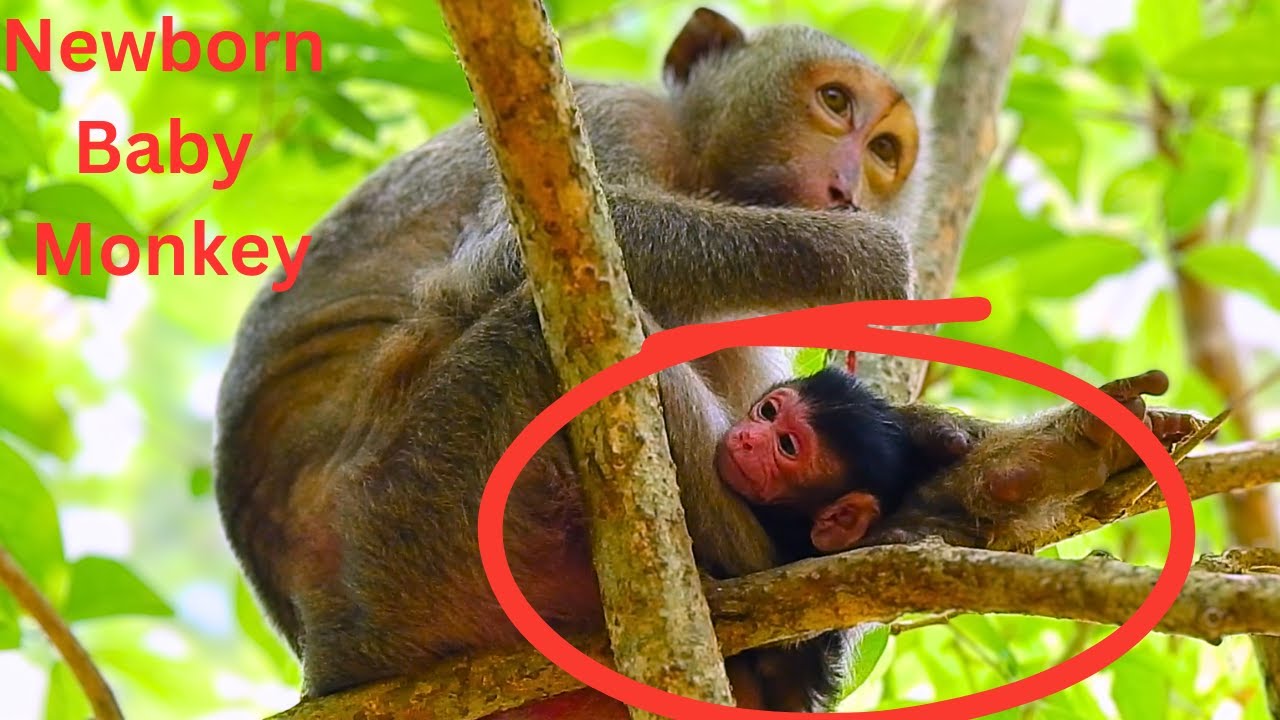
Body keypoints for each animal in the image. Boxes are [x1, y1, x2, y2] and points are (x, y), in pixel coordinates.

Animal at [212, 7, 1205, 716]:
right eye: (834, 104)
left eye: (887, 152)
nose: (850, 186)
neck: (697, 152)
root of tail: (327, 654)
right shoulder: (602, 121)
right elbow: (503, 263)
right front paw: (869, 264)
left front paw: (929, 434)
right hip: (408, 530)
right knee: (541, 330)